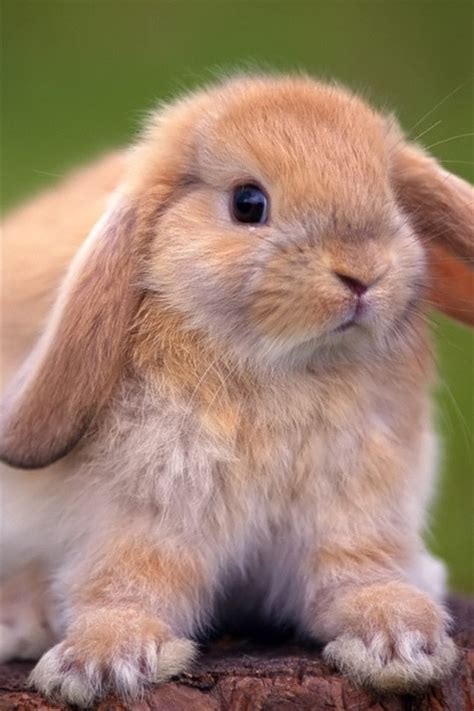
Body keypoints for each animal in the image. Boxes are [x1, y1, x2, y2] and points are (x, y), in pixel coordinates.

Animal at [1, 74, 473, 707]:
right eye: (248, 204)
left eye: (393, 196)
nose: (363, 273)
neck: (286, 367)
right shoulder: (148, 517)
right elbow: (127, 586)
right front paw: (99, 664)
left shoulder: (353, 513)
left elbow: (357, 578)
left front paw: (402, 643)